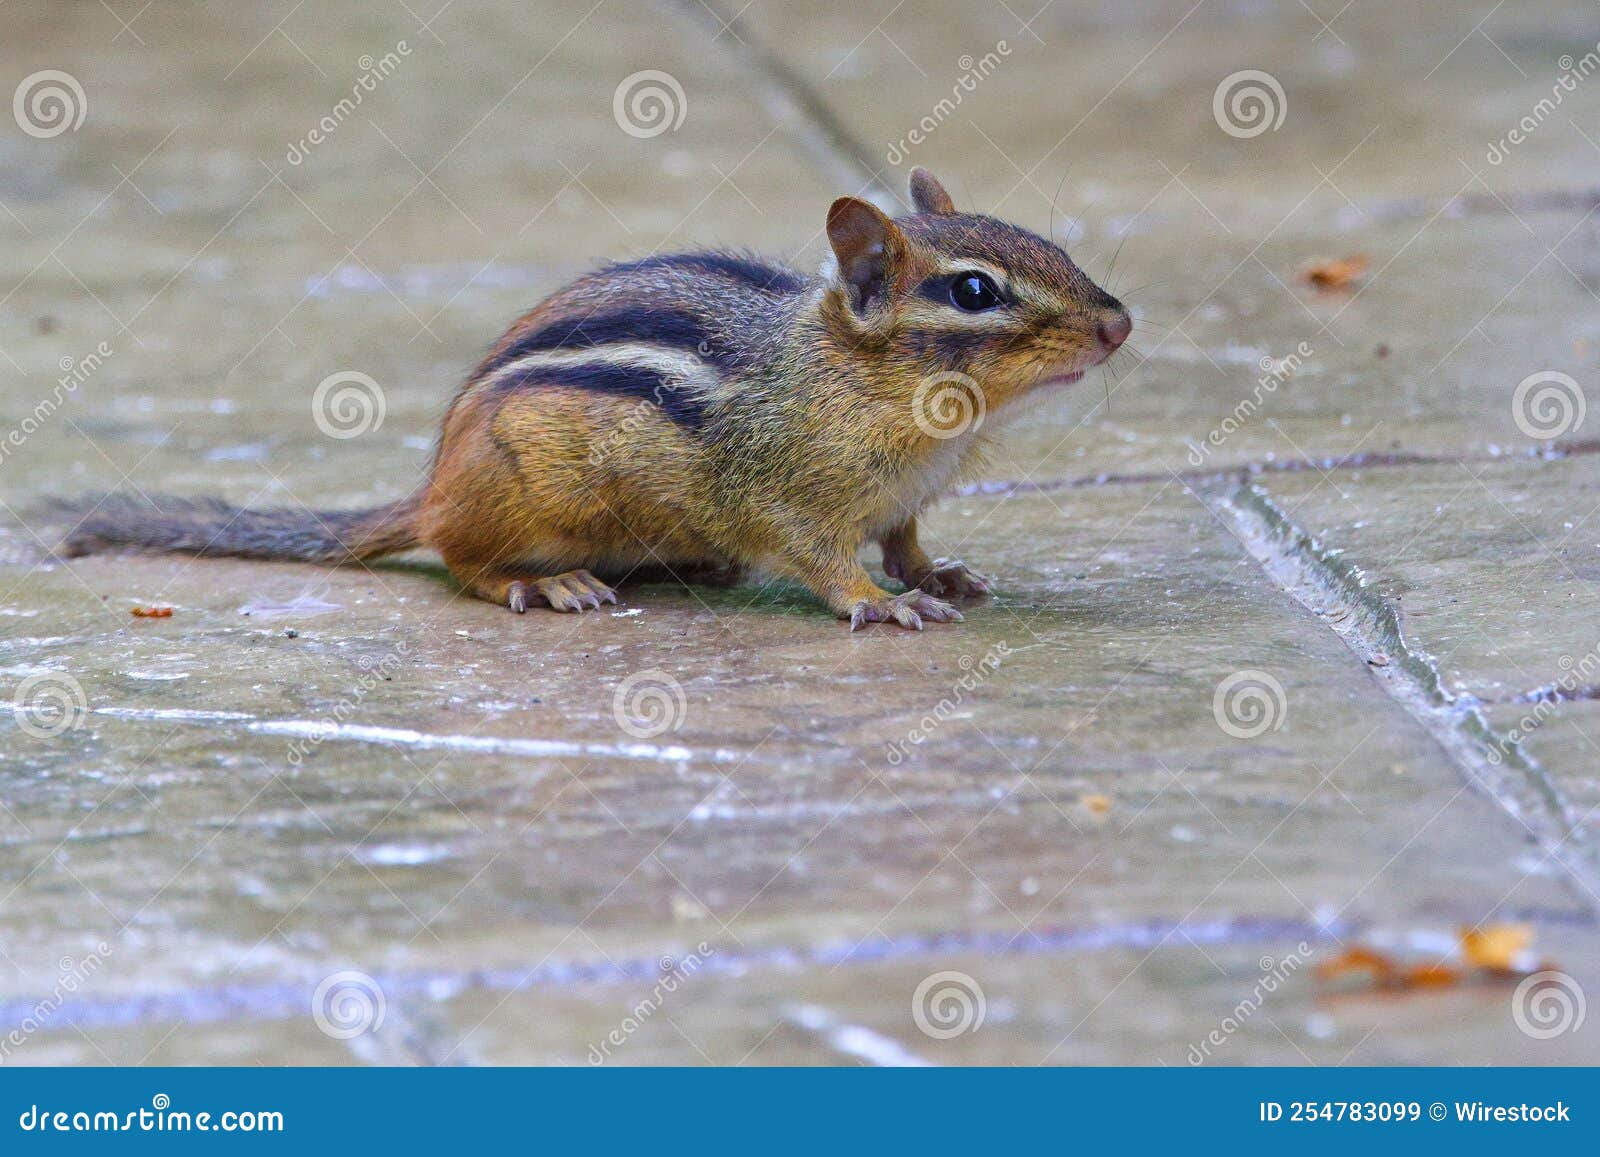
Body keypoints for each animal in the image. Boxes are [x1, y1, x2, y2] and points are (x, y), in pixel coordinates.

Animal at [59, 168, 1130, 631]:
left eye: (1047, 242)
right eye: (975, 291)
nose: (1120, 323)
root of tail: (432, 483)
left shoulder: (905, 499)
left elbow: (906, 540)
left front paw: (936, 575)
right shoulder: (787, 492)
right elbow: (826, 562)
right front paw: (881, 603)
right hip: (523, 494)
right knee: (457, 559)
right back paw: (546, 583)